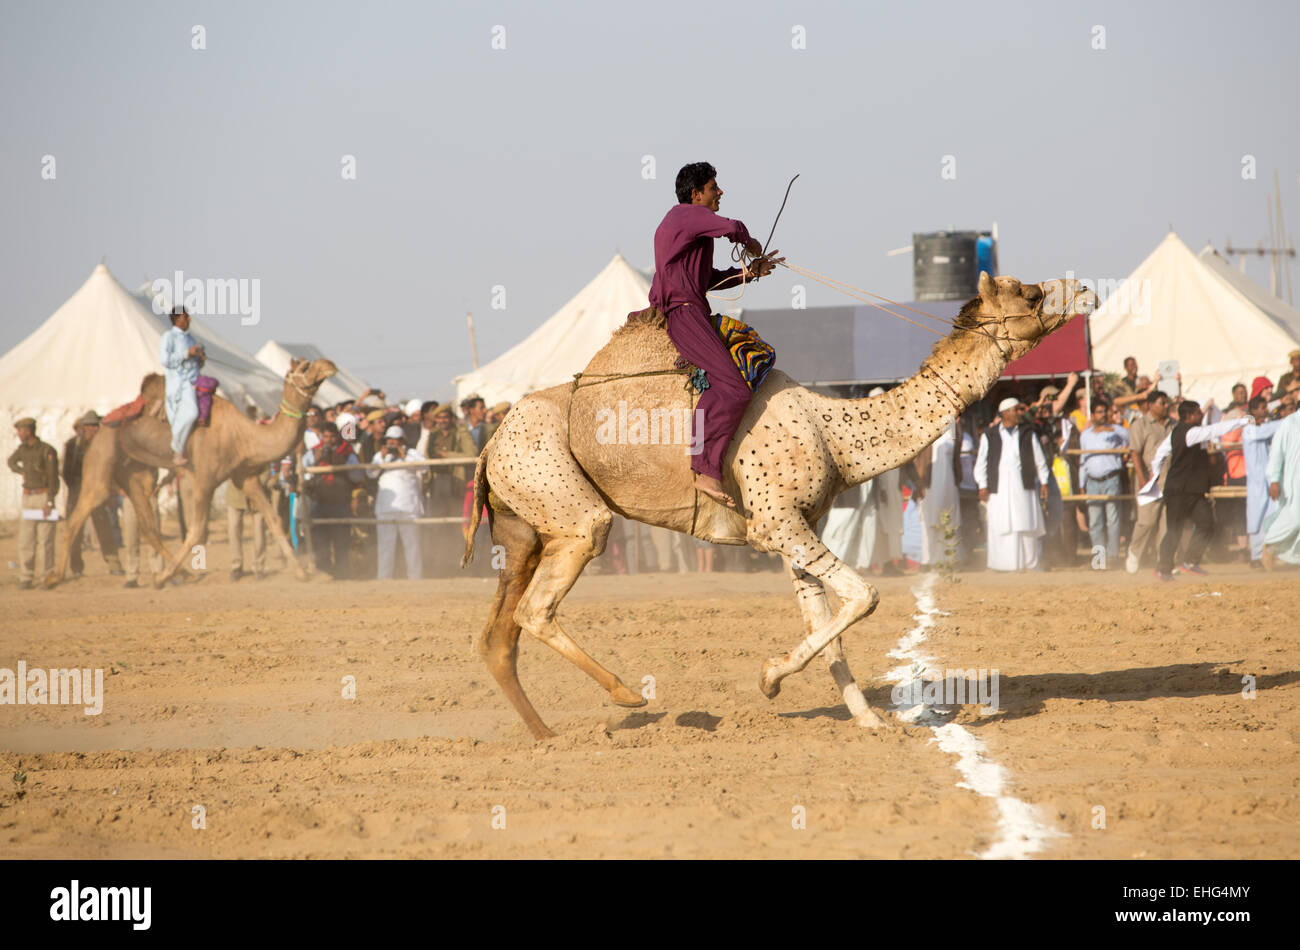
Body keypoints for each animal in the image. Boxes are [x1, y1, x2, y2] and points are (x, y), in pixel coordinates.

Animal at [47, 357, 337, 589]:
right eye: (305, 367)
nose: (330, 365)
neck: (243, 435)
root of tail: (100, 426)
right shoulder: (204, 478)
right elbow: (196, 530)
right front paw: (161, 578)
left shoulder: (245, 475)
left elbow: (273, 520)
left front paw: (302, 573)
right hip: (102, 457)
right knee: (79, 513)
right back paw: (53, 578)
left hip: (134, 472)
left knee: (148, 525)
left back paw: (183, 573)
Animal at [463, 273, 1096, 739]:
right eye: (1031, 294)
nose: (1085, 287)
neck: (835, 433)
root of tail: (490, 444)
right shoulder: (777, 523)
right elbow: (865, 596)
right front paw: (770, 679)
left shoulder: (799, 528)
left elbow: (829, 625)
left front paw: (869, 721)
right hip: (565, 500)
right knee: (537, 607)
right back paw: (626, 696)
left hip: (523, 527)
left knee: (498, 636)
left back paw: (545, 734)